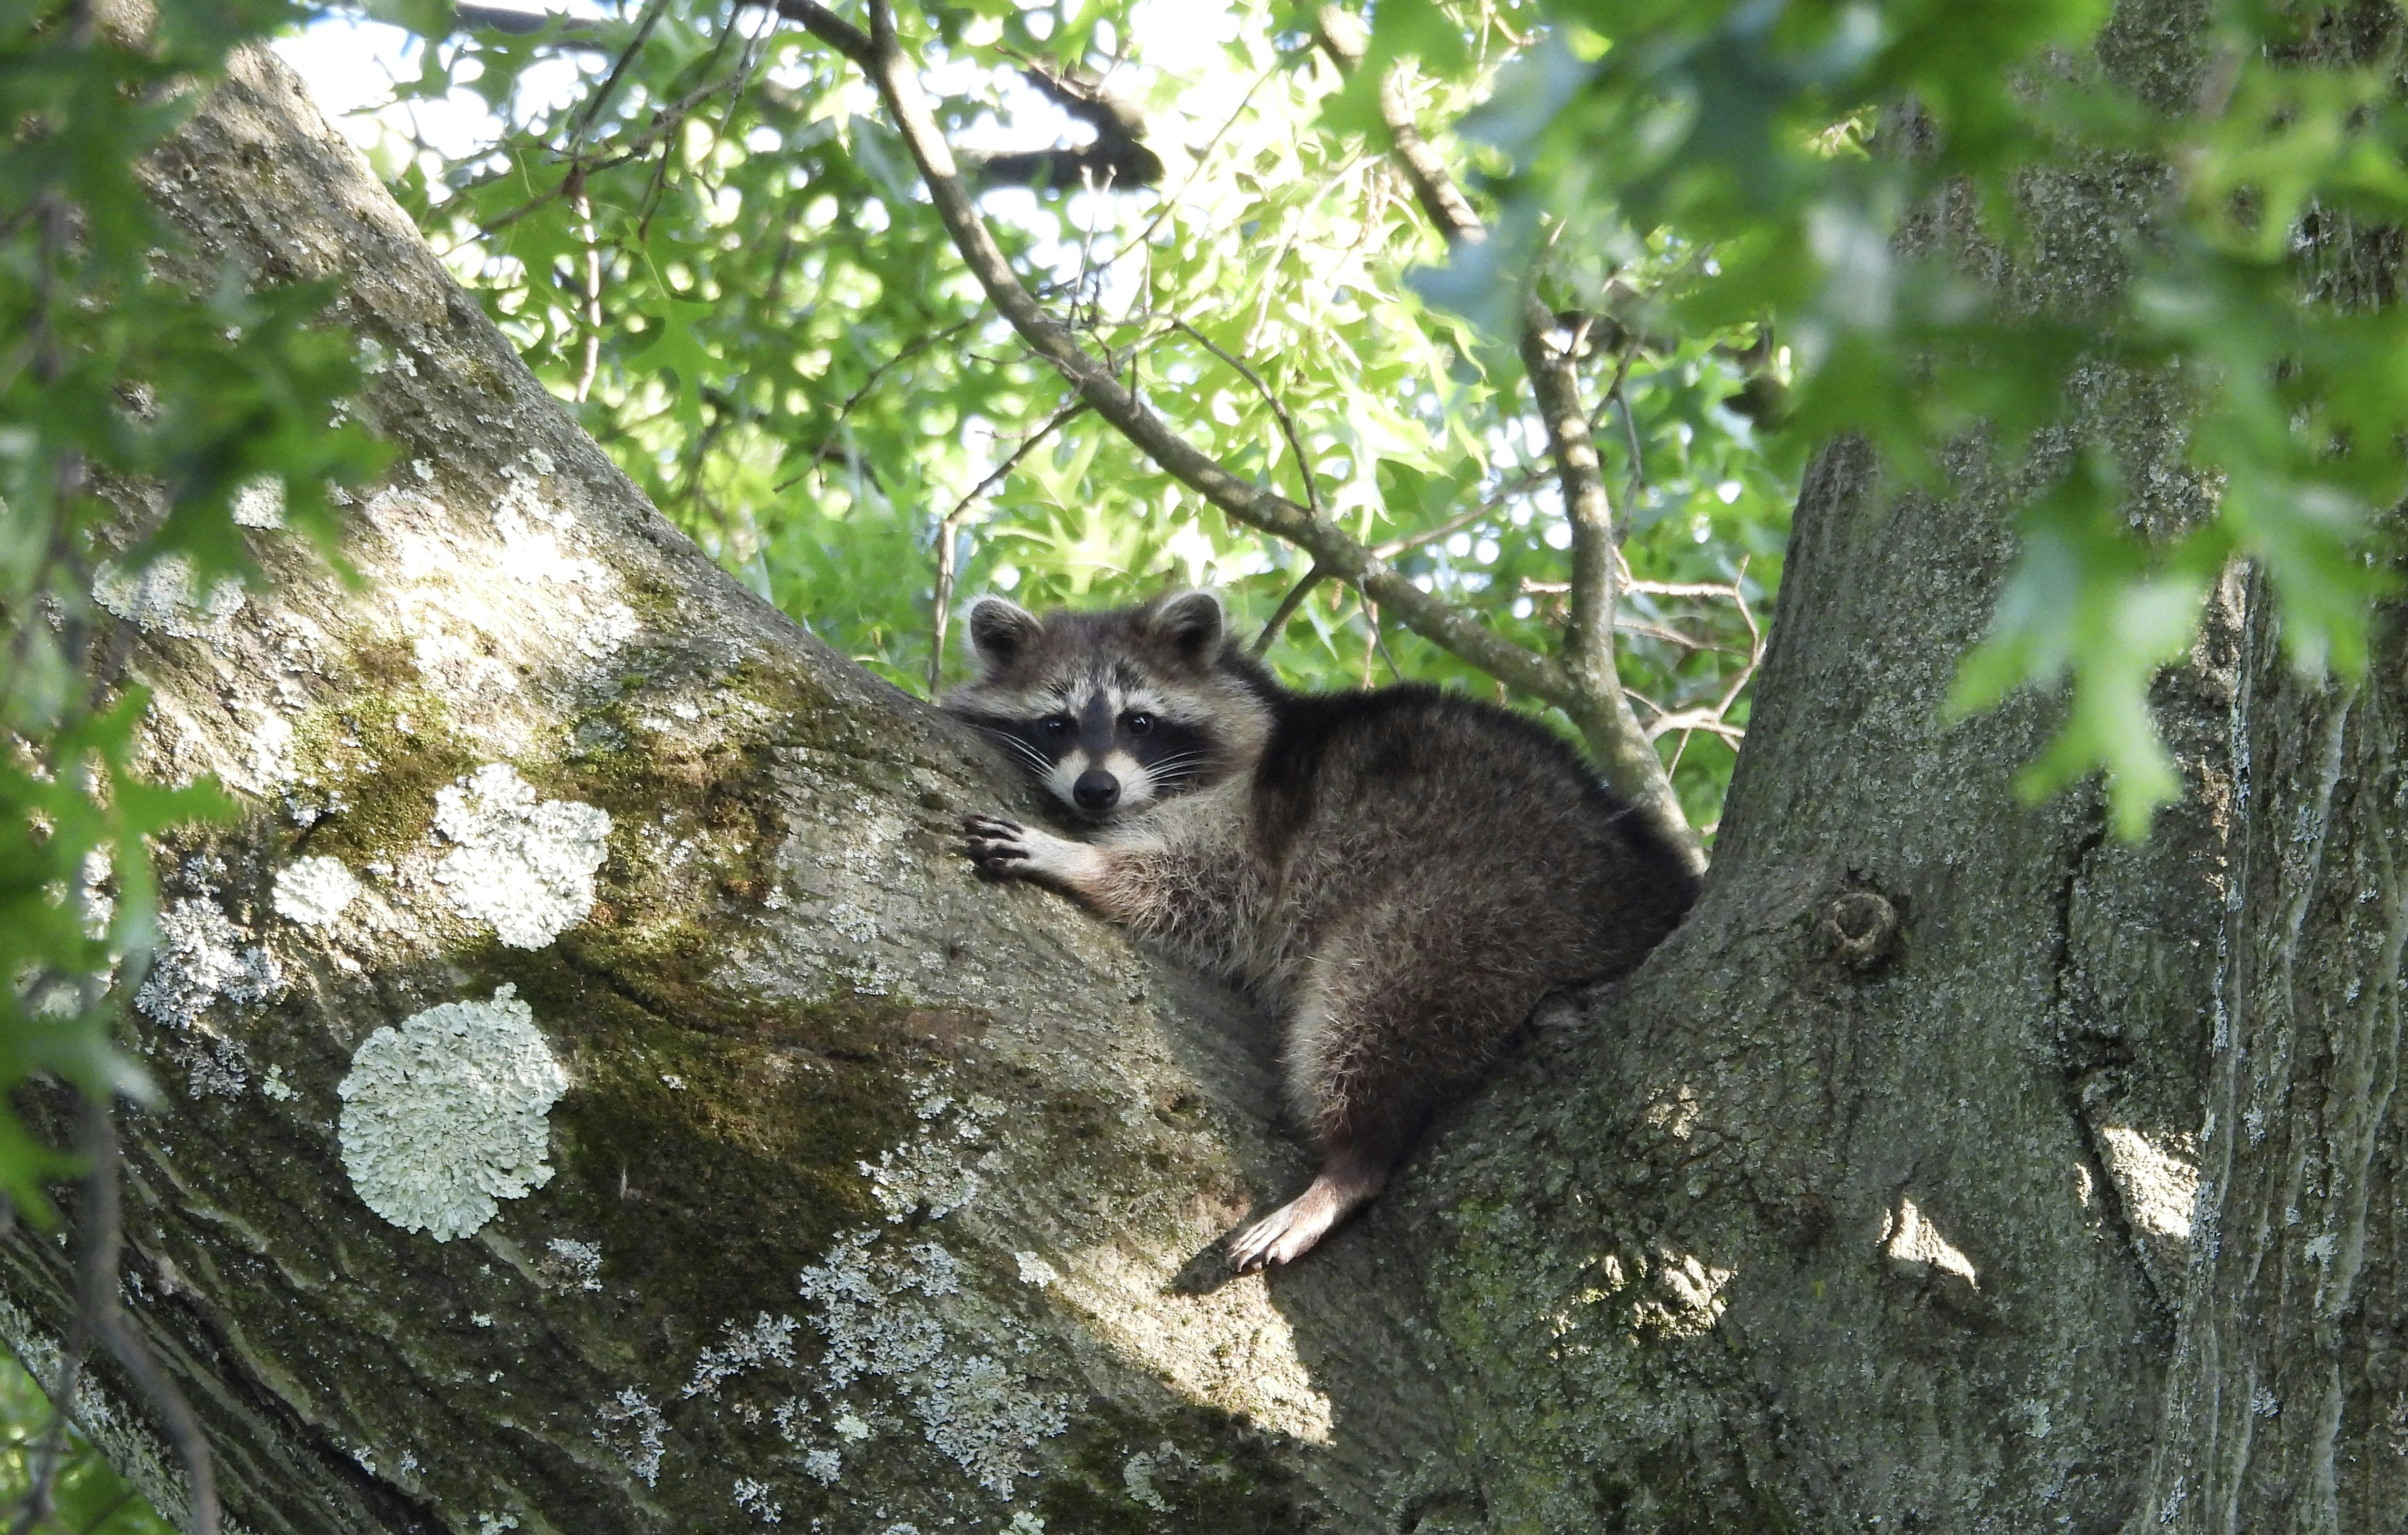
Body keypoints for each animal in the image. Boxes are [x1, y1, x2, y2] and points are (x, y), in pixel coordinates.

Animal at [944, 590, 1699, 1270]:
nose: (1096, 791)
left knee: (1358, 1006)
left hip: (1479, 909)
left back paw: (1352, 1163)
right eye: (1057, 725)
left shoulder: (1252, 827)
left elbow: (1201, 890)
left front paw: (1079, 860)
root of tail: (1652, 895)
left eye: (1139, 722)